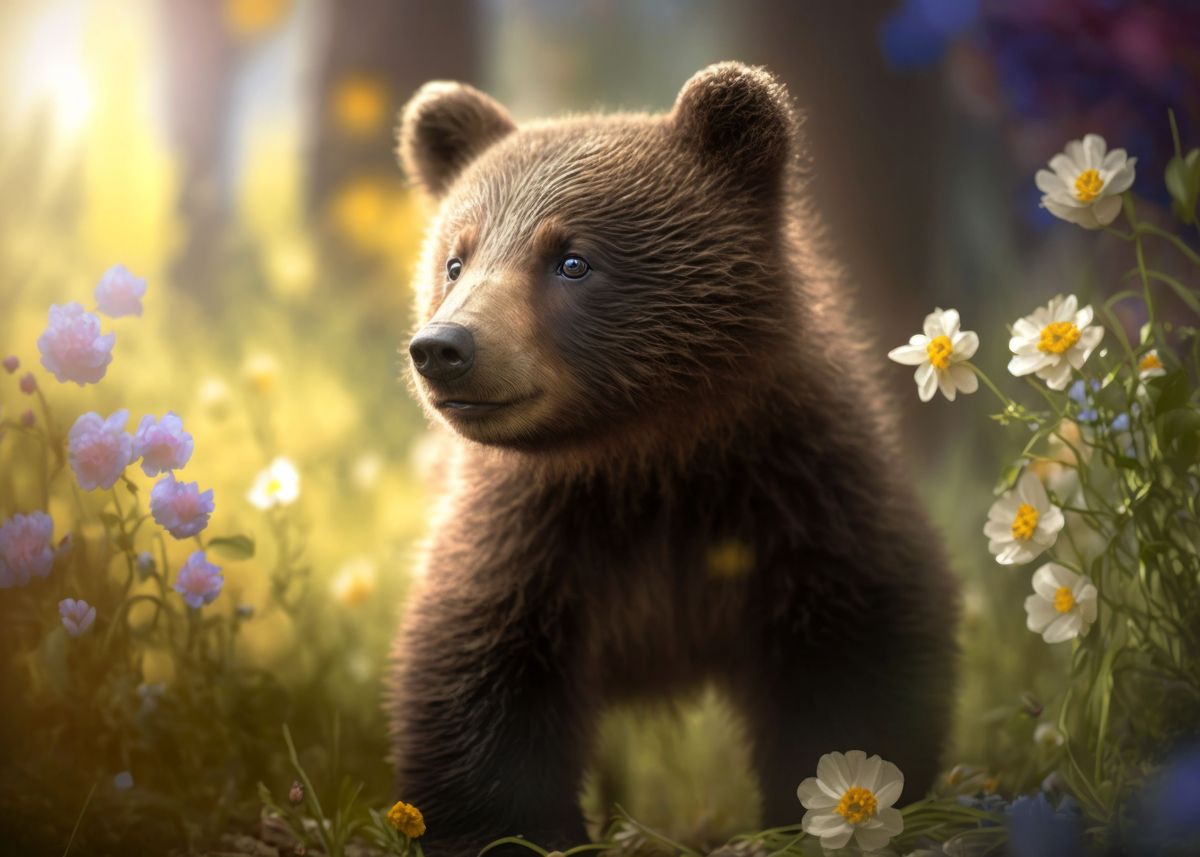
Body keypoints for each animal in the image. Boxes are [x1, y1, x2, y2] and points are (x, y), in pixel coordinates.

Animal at [388, 62, 959, 857]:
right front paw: (521, 831)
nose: (445, 347)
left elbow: (858, 661)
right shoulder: (528, 539)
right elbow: (479, 681)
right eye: (455, 258)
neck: (649, 453)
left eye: (572, 259)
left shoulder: (803, 498)